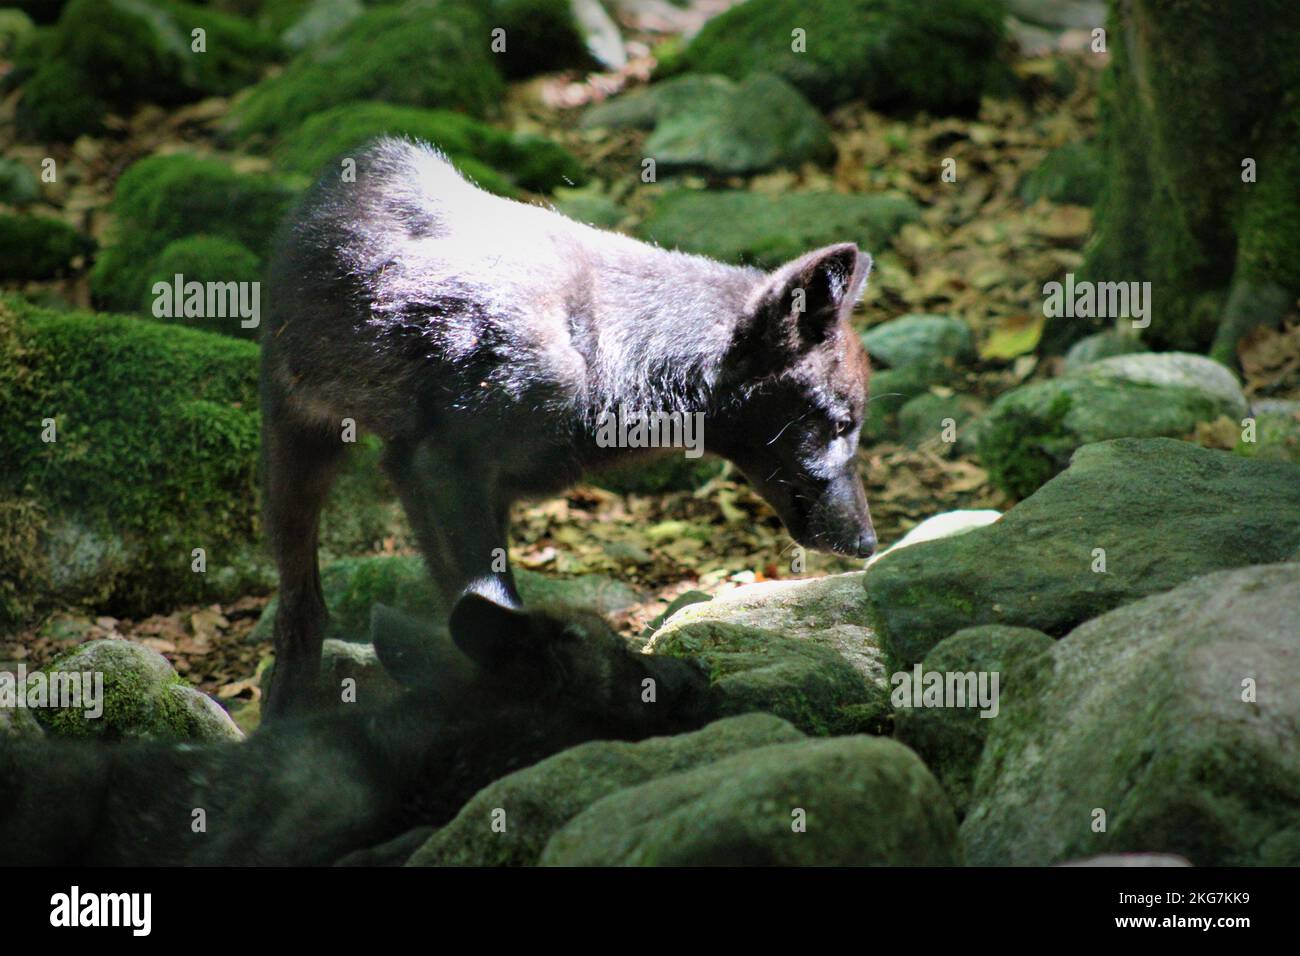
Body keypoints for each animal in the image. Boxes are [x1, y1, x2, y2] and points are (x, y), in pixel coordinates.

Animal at [261, 137, 876, 717]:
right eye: (841, 423)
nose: (869, 543)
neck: (609, 348)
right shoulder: (439, 471)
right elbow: (489, 605)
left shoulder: (487, 492)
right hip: (301, 456)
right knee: (301, 608)